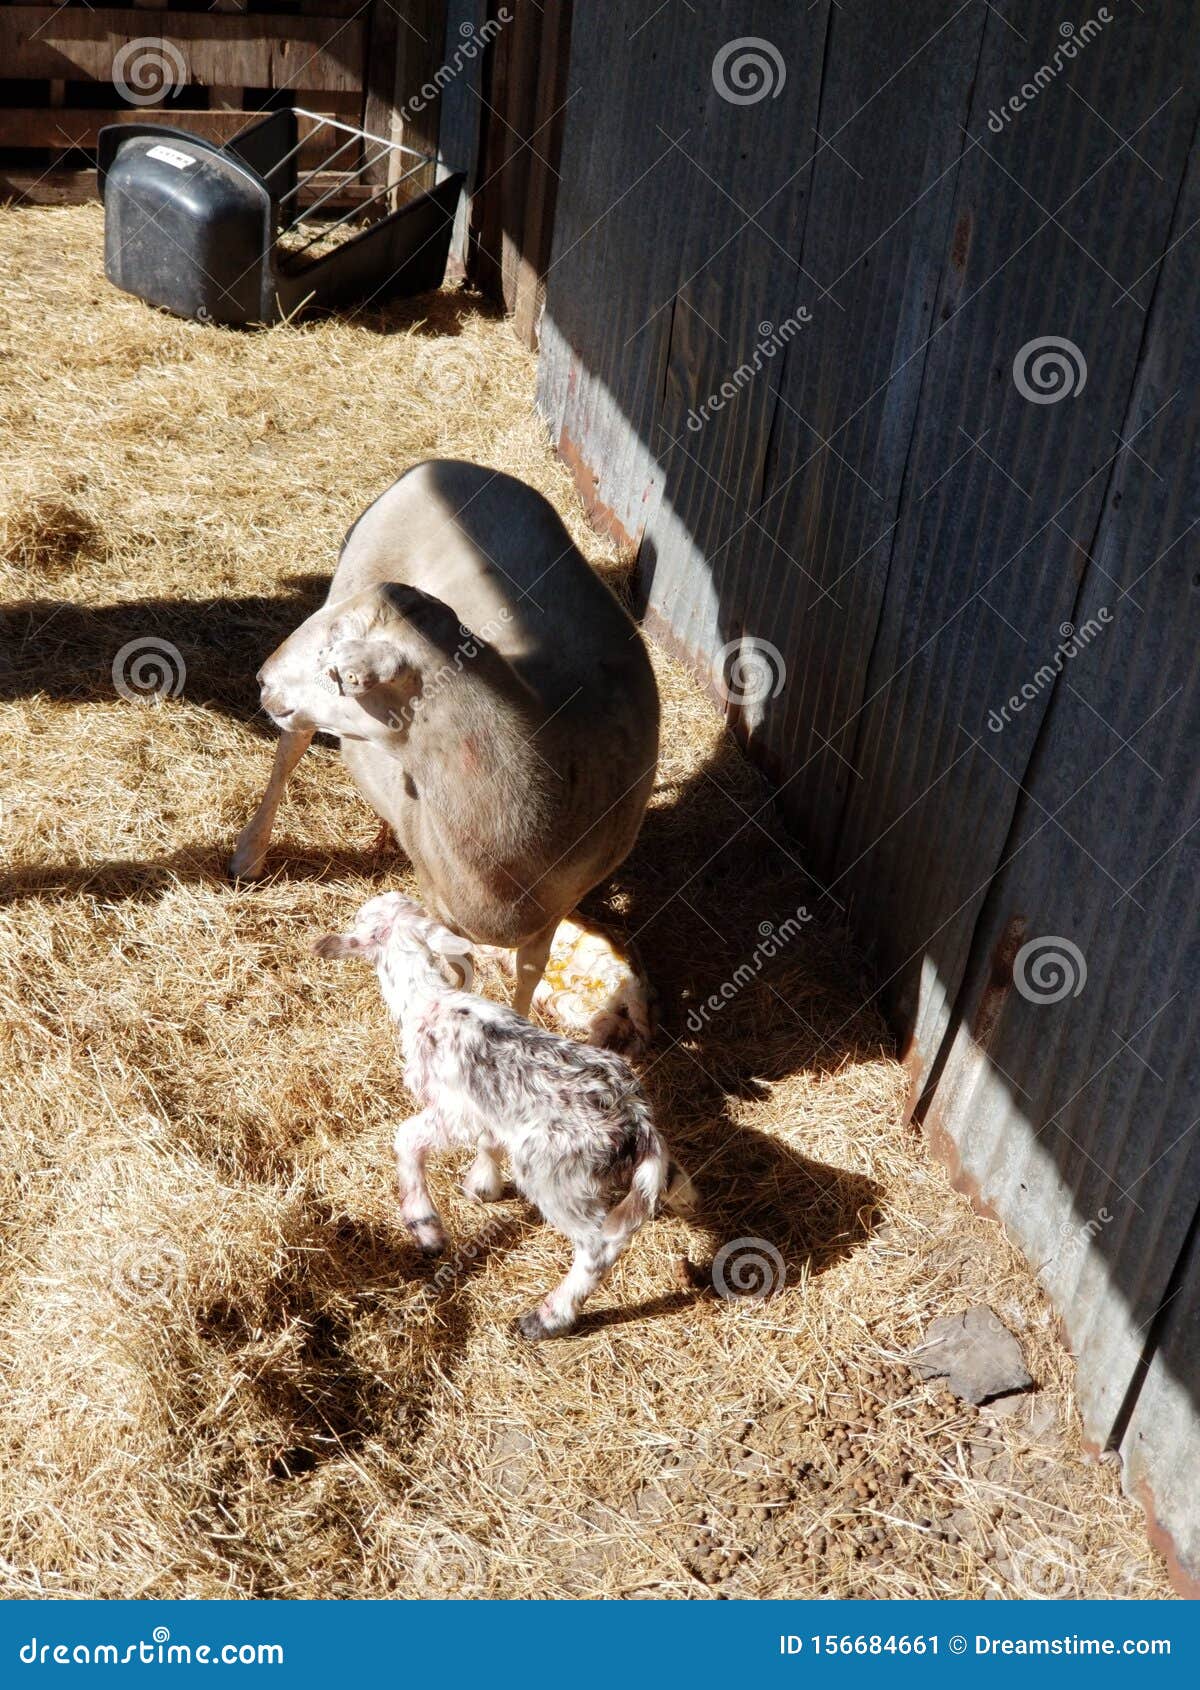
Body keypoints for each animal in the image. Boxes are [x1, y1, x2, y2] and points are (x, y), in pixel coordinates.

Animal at [233, 459, 660, 1020]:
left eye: (339, 671)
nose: (262, 677)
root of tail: (441, 465)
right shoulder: (437, 896)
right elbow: (457, 967)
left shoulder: (557, 904)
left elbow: (530, 971)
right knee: (290, 749)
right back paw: (249, 853)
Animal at [315, 892, 694, 1339]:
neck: (429, 999)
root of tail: (636, 1120)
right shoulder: (488, 1109)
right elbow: (489, 1141)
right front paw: (483, 1186)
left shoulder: (452, 1110)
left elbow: (406, 1139)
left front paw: (426, 1228)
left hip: (553, 1174)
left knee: (599, 1246)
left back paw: (548, 1317)